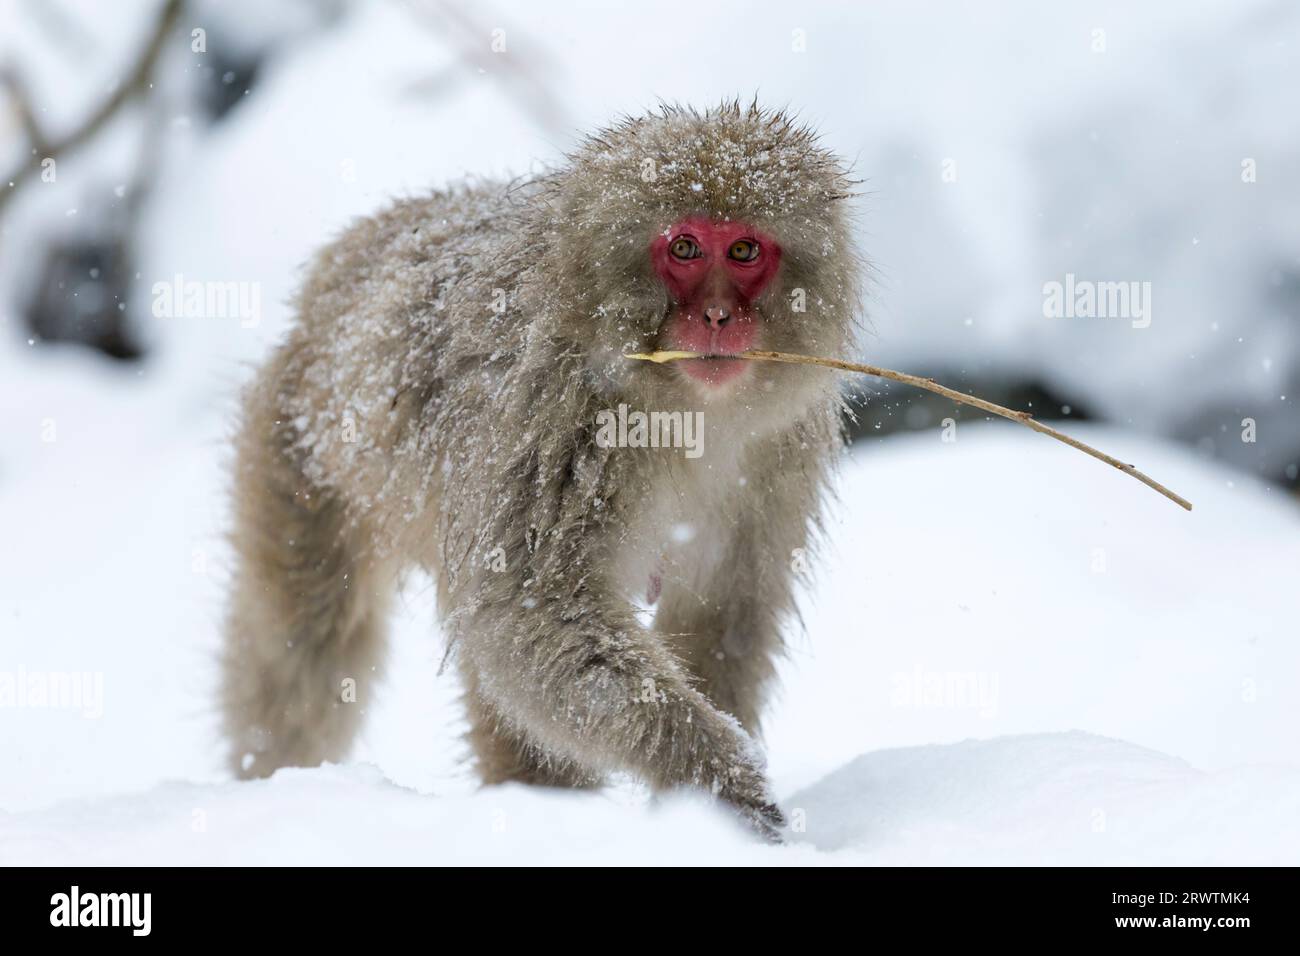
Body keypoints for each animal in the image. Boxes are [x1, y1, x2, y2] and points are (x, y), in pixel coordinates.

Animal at [220, 102, 862, 839]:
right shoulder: (554, 419)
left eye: (745, 251)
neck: (685, 408)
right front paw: (722, 780)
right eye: (685, 250)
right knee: (306, 651)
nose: (719, 315)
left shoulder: (783, 448)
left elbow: (726, 609)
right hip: (295, 458)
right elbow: (532, 612)